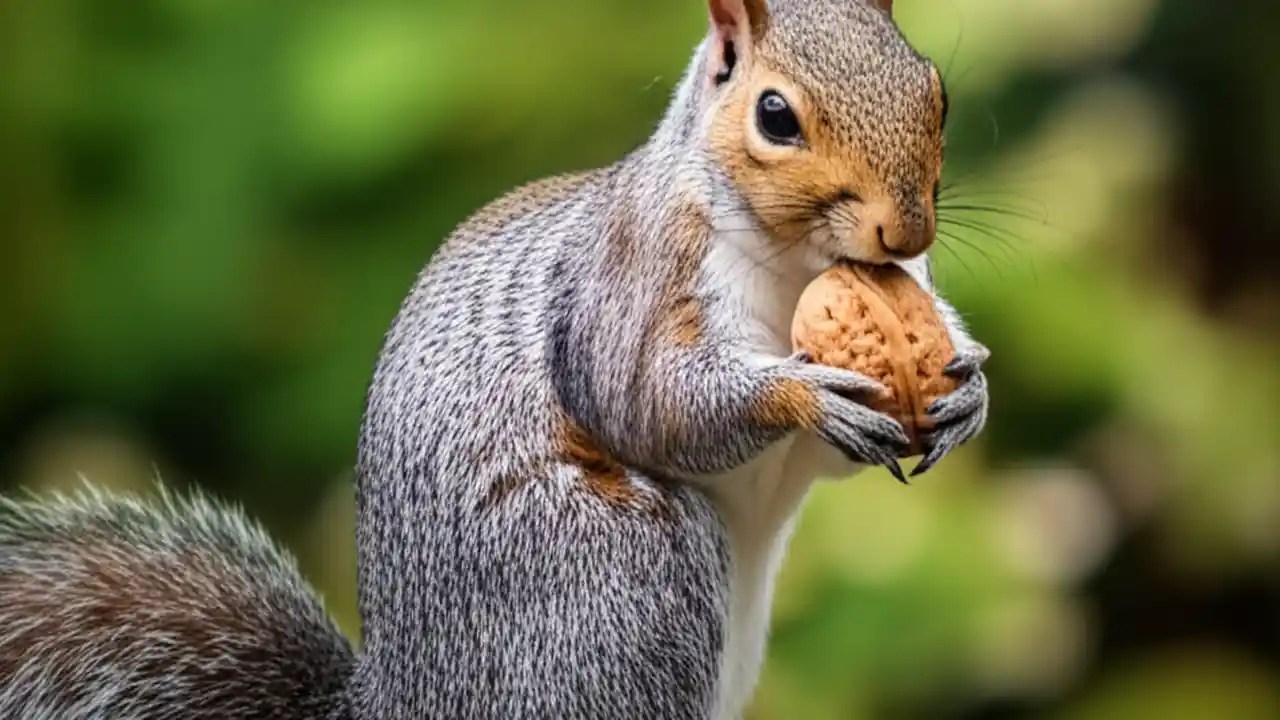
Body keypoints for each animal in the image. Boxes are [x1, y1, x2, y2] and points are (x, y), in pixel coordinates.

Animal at [0, 0, 990, 718]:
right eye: (774, 115)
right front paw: (805, 394)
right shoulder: (626, 283)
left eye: (935, 89)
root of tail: (403, 704)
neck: (796, 266)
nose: (906, 231)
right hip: (628, 579)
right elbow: (653, 403)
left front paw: (968, 386)